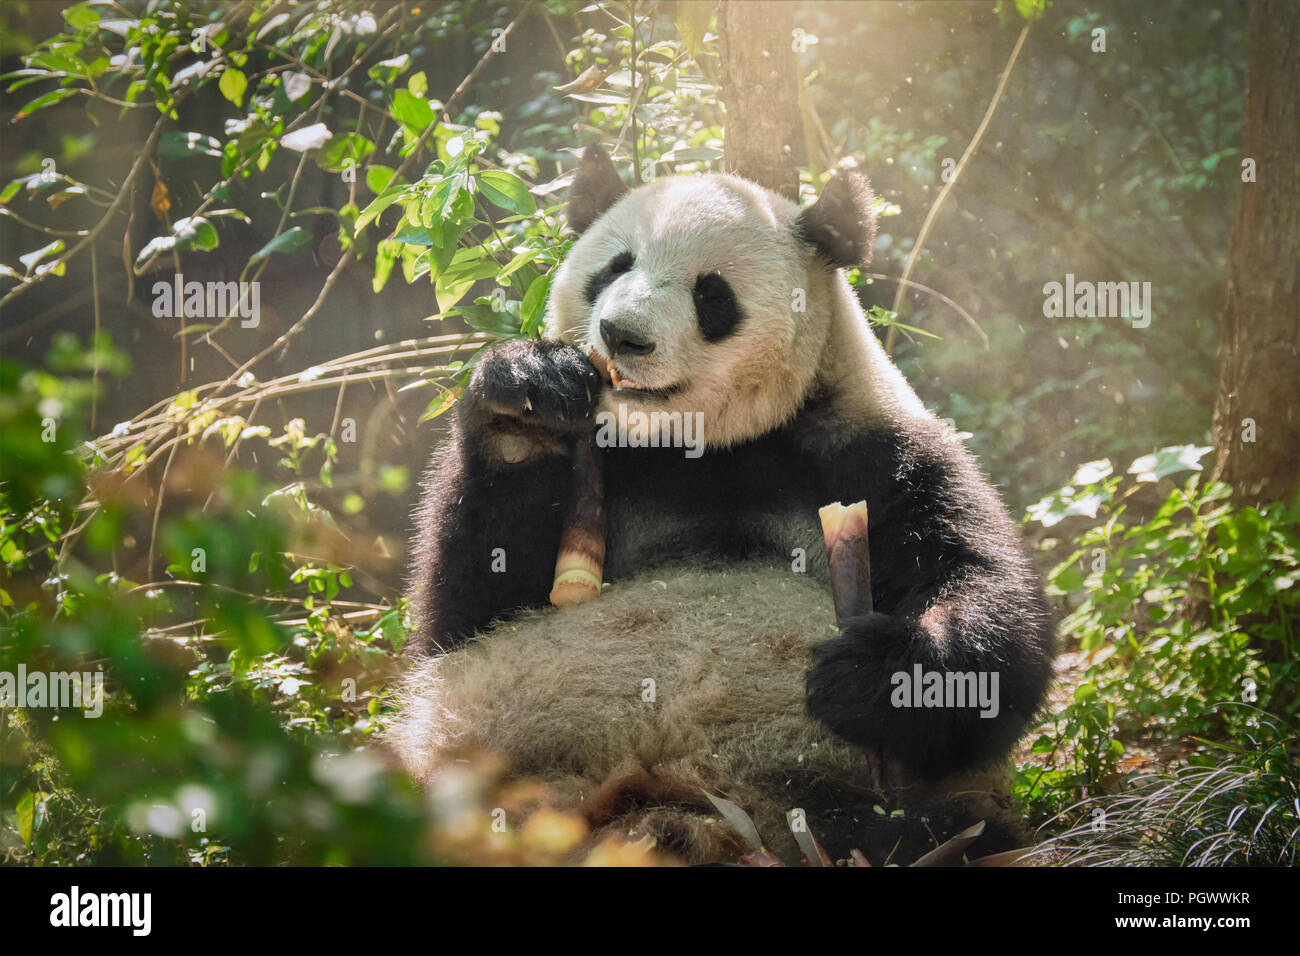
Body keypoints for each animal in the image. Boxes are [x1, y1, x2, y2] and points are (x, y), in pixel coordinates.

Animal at [389, 145, 1055, 865]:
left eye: (711, 294)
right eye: (614, 268)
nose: (621, 336)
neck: (701, 447)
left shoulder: (873, 452)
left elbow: (986, 607)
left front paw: (871, 674)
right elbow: (466, 609)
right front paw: (527, 393)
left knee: (933, 827)